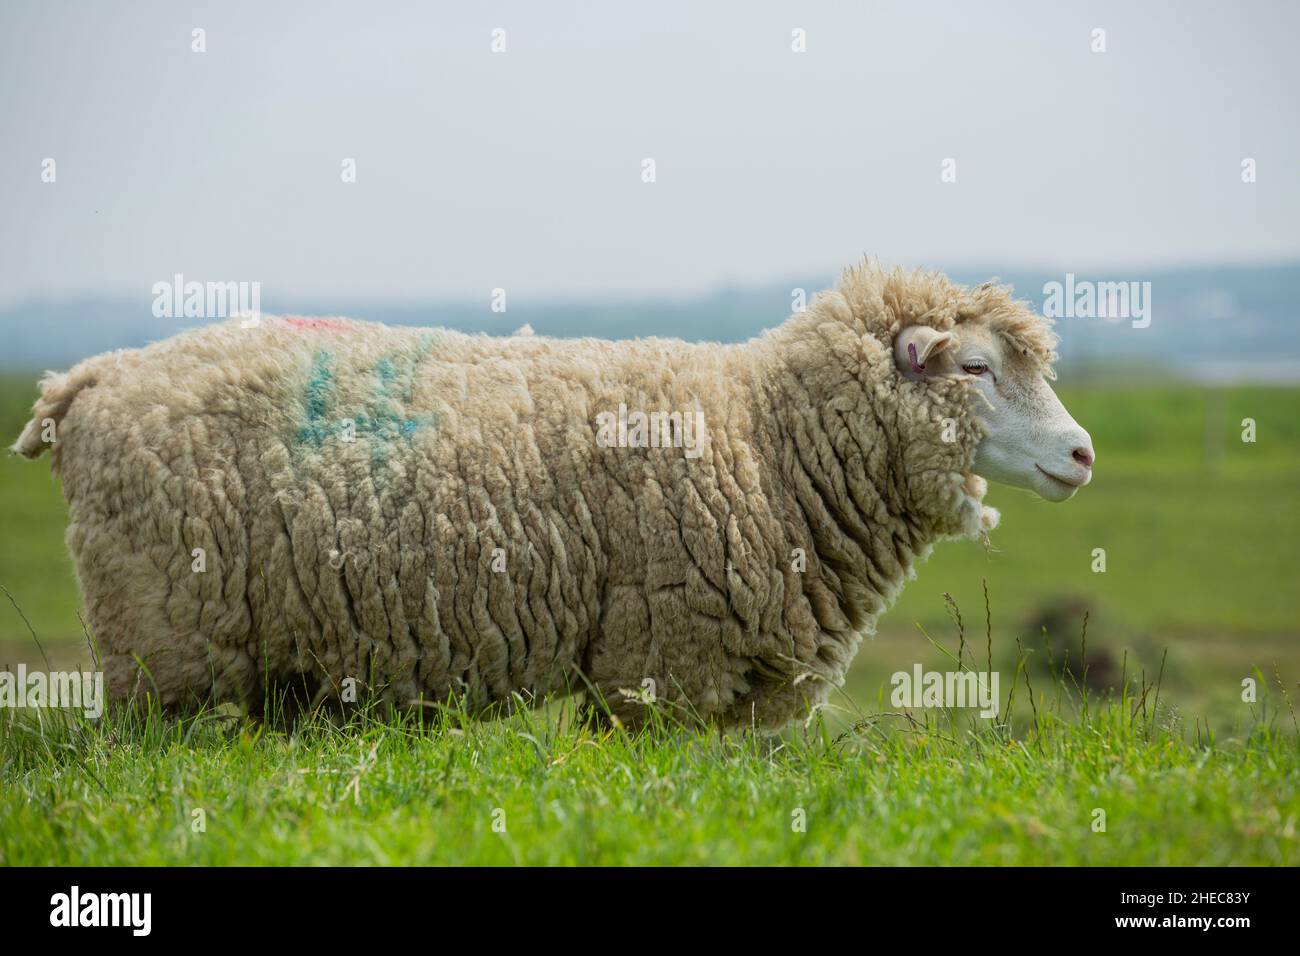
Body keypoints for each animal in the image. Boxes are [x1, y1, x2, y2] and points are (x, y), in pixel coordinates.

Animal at [11, 263, 1094, 729]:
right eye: (975, 367)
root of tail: (85, 380)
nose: (1082, 454)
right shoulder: (661, 664)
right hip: (165, 640)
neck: (763, 435)